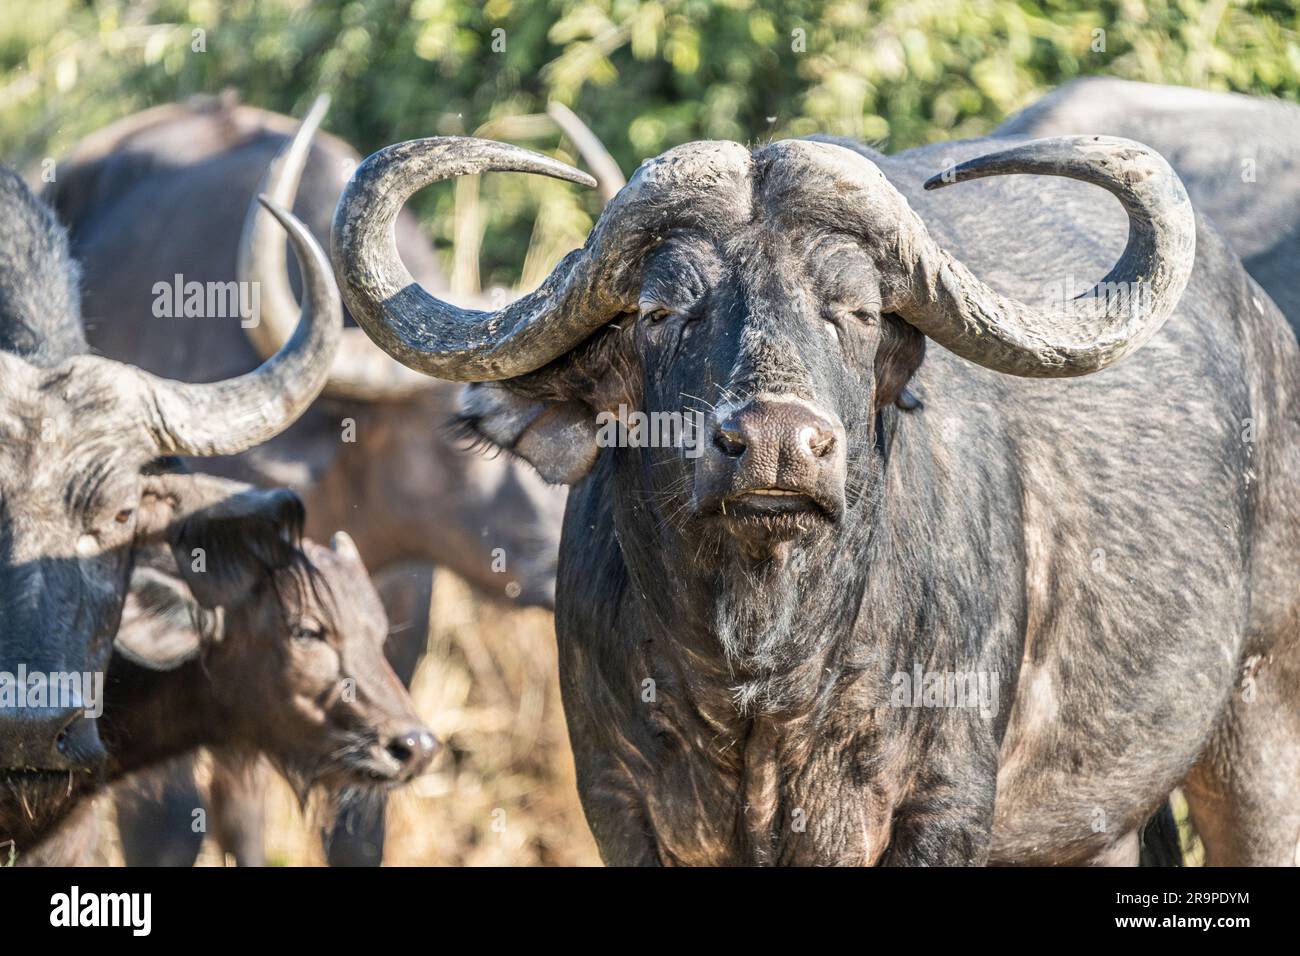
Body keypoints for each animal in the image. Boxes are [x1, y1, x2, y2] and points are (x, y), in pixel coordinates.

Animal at [331, 132, 1300, 865]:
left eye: (858, 310)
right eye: (660, 310)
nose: (774, 443)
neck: (763, 677)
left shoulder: (942, 804)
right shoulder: (616, 799)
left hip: (1261, 726)